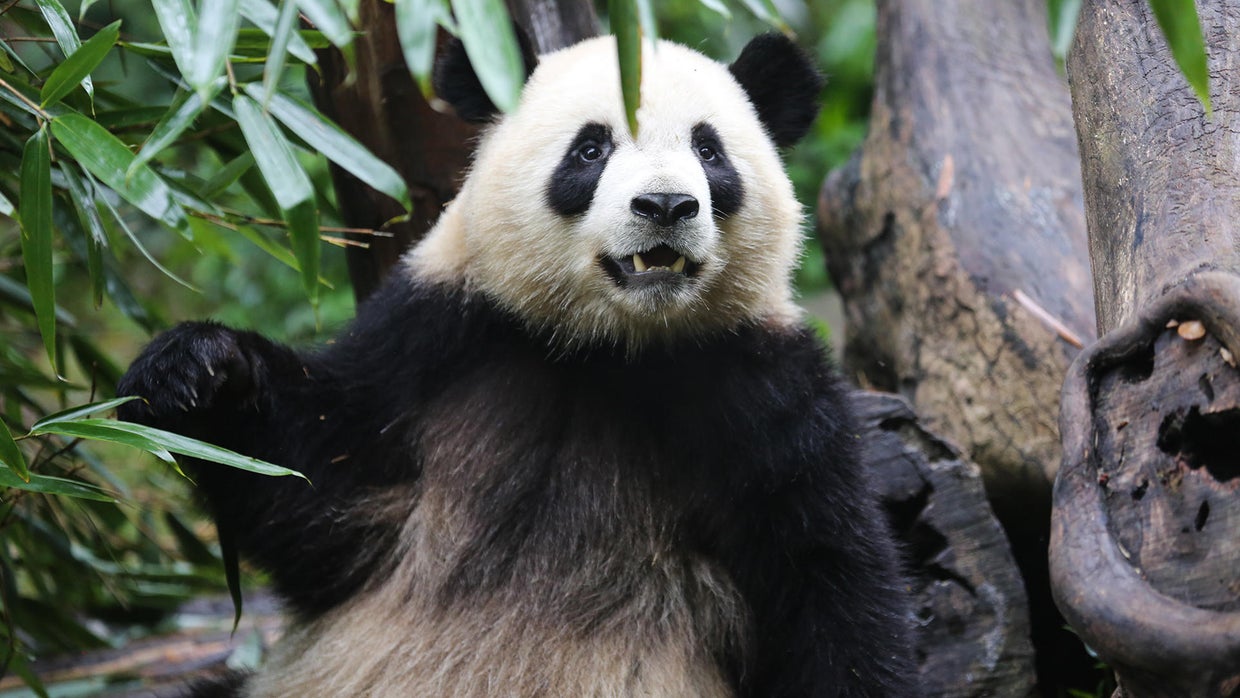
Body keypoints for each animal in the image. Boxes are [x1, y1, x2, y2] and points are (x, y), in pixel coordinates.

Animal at [118, 31, 919, 698]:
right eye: (590, 149)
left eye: (710, 152)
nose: (665, 205)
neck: (610, 349)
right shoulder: (439, 339)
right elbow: (317, 485)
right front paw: (193, 373)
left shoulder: (761, 395)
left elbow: (827, 589)